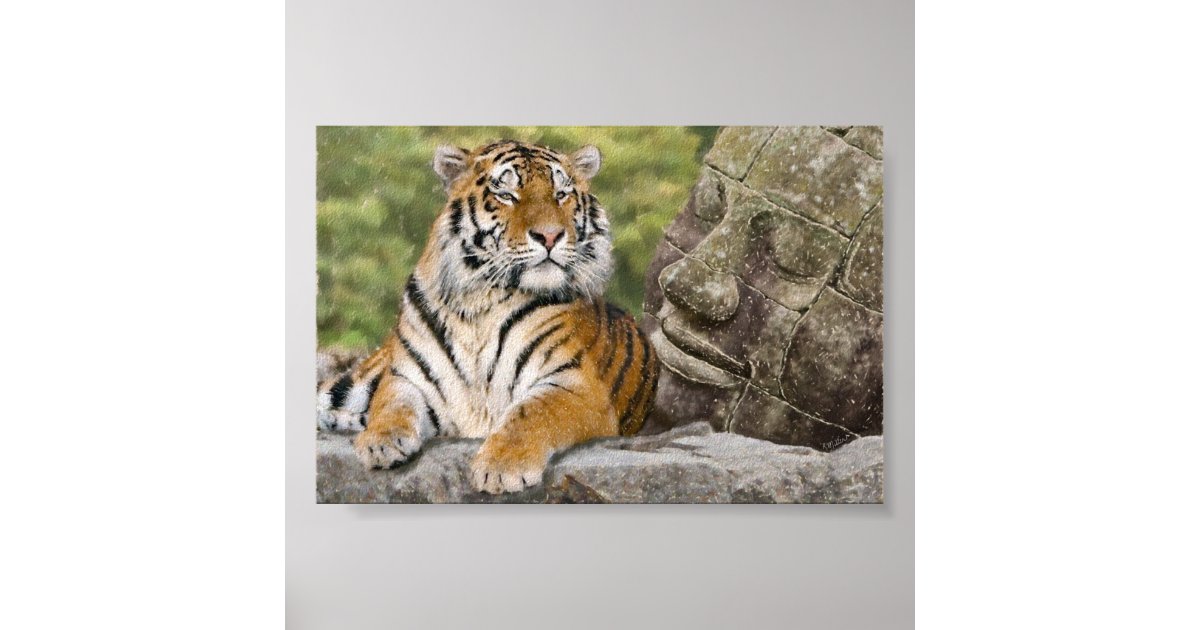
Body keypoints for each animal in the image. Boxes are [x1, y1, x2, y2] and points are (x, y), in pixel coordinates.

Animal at [317, 140, 660, 494]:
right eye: (507, 195)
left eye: (561, 194)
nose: (550, 236)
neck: (478, 303)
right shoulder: (407, 377)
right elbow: (391, 405)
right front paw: (380, 442)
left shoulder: (576, 384)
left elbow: (532, 412)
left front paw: (502, 467)